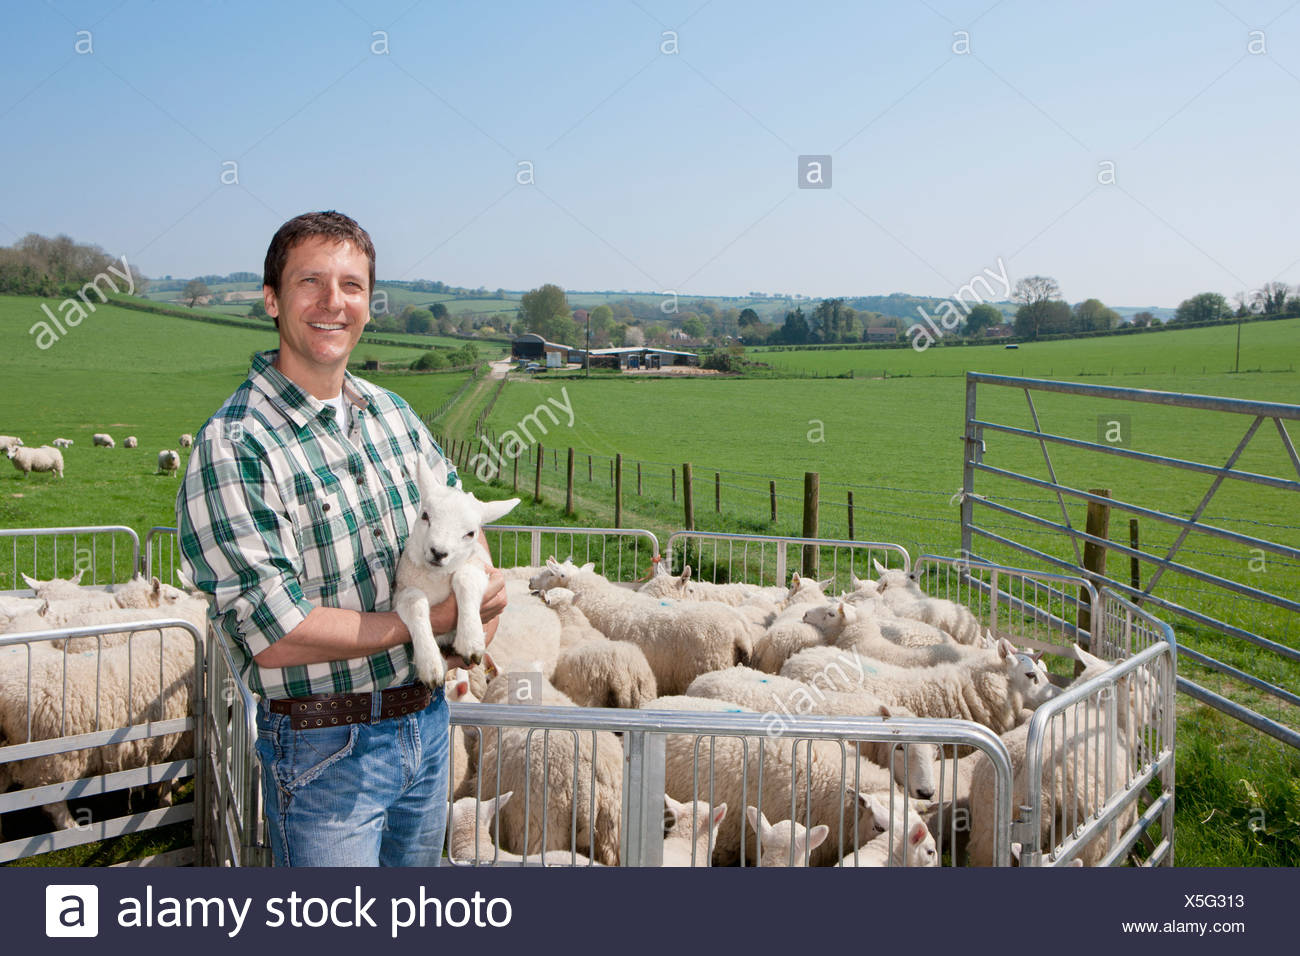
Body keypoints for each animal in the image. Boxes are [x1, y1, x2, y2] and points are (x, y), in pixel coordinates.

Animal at [392, 456, 519, 688]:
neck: (434, 577)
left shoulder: (479, 567)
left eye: (470, 533)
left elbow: (466, 578)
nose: (438, 552)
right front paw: (431, 663)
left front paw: (470, 641)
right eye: (425, 516)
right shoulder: (401, 591)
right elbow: (415, 602)